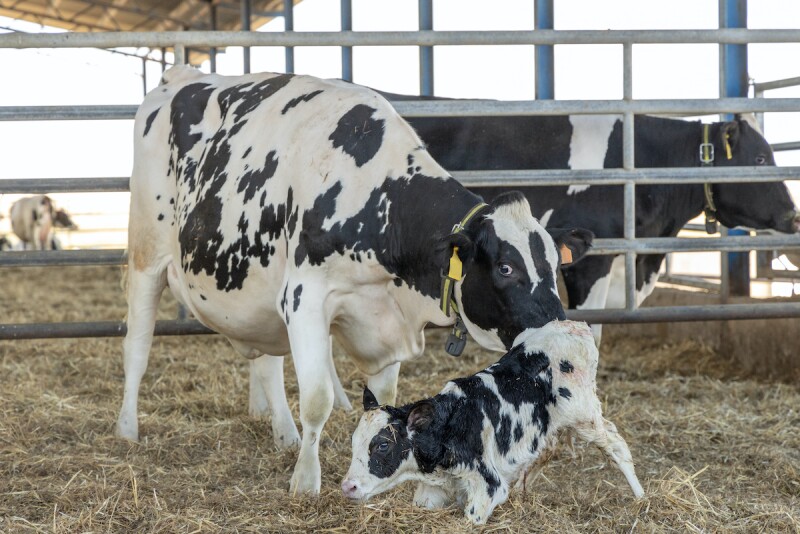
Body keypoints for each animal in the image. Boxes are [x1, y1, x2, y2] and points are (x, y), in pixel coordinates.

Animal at [115, 66, 593, 494]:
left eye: (555, 263)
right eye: (506, 268)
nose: (560, 333)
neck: (376, 200)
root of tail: (180, 75)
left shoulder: (386, 313)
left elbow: (383, 394)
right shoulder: (304, 298)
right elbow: (317, 399)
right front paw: (305, 482)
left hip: (257, 292)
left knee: (267, 364)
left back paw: (284, 434)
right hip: (146, 256)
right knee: (137, 347)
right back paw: (127, 429)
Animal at [342, 320, 645, 524]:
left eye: (382, 445)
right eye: (354, 442)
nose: (348, 487)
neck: (450, 425)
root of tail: (573, 325)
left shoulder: (488, 485)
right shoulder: (435, 489)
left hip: (584, 415)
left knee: (616, 445)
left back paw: (641, 497)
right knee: (547, 450)